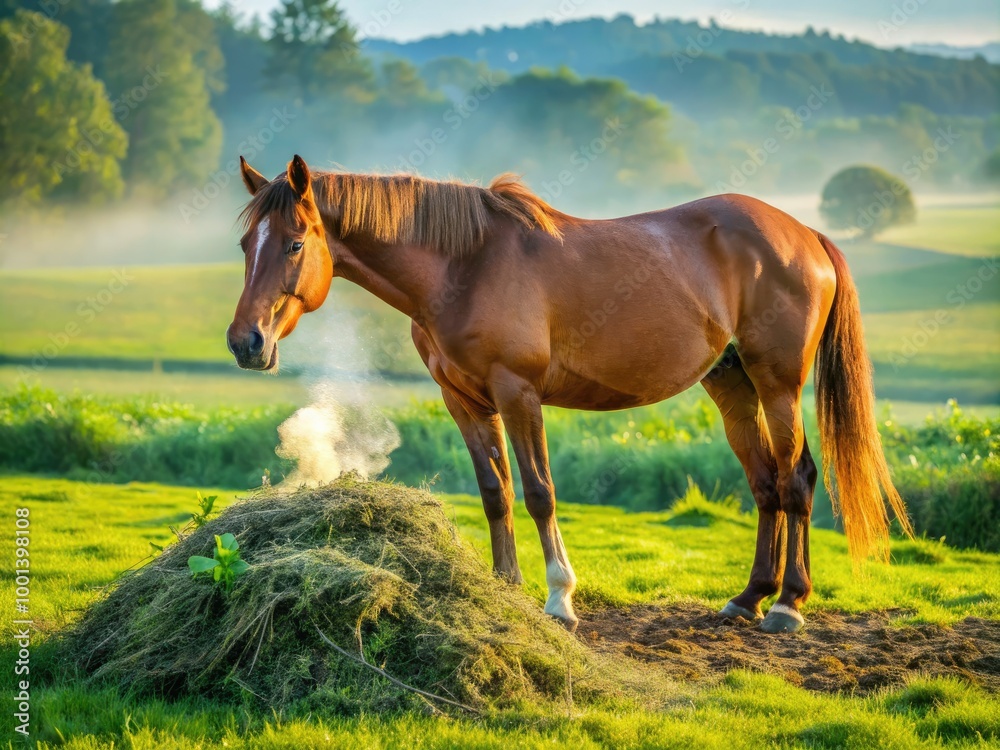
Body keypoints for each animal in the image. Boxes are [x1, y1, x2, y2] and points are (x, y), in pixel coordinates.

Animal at [228, 154, 912, 634]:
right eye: (244, 244)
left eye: (295, 242)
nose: (244, 343)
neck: (465, 266)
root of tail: (803, 233)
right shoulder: (464, 402)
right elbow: (496, 494)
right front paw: (504, 590)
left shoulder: (517, 393)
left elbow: (539, 494)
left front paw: (559, 598)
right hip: (732, 385)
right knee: (766, 481)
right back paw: (748, 599)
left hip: (778, 383)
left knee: (796, 479)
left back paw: (789, 605)